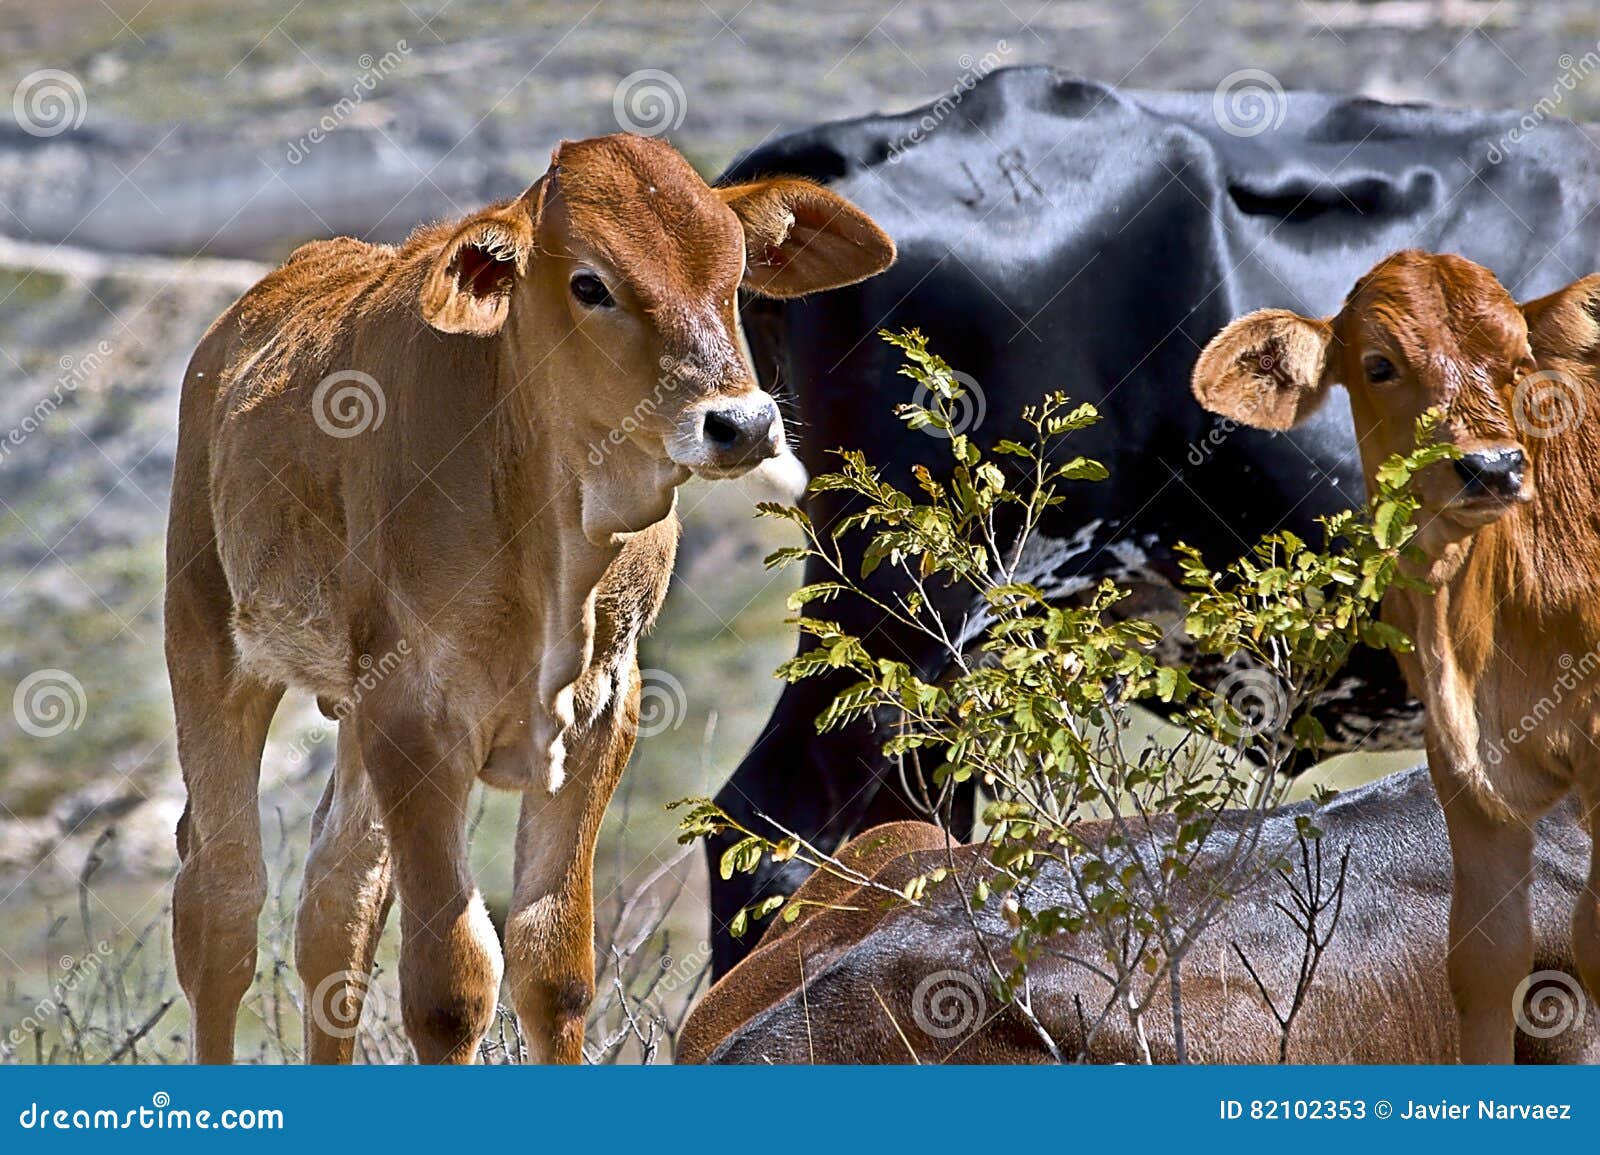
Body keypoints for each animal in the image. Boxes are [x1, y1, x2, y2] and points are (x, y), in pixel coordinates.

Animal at [163, 132, 894, 1064]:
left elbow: (554, 962)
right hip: (210, 643)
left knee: (337, 901)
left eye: (734, 275)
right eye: (590, 283)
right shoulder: (414, 712)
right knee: (221, 902)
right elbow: (450, 985)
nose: (743, 423)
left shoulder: (602, 709)